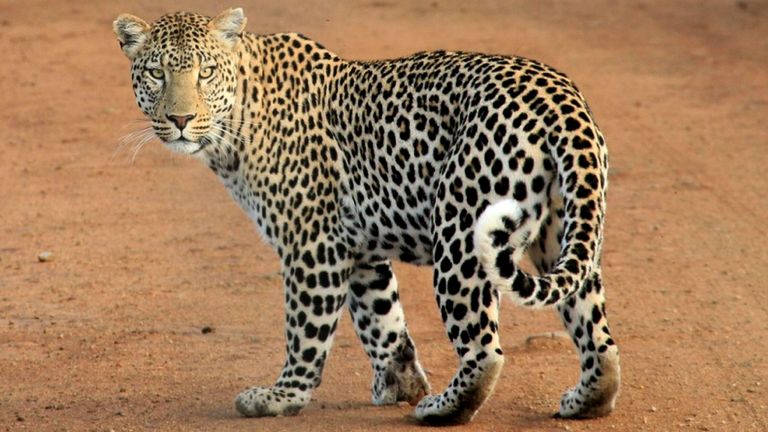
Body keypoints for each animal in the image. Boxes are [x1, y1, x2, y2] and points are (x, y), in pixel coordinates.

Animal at [113, 8, 620, 425]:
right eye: (157, 73)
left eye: (206, 73)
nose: (180, 120)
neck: (238, 119)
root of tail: (561, 99)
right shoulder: (358, 248)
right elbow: (383, 320)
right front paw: (400, 382)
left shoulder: (312, 244)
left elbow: (306, 329)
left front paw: (283, 396)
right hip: (563, 231)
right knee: (596, 333)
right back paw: (586, 400)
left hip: (460, 234)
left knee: (484, 350)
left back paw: (441, 408)